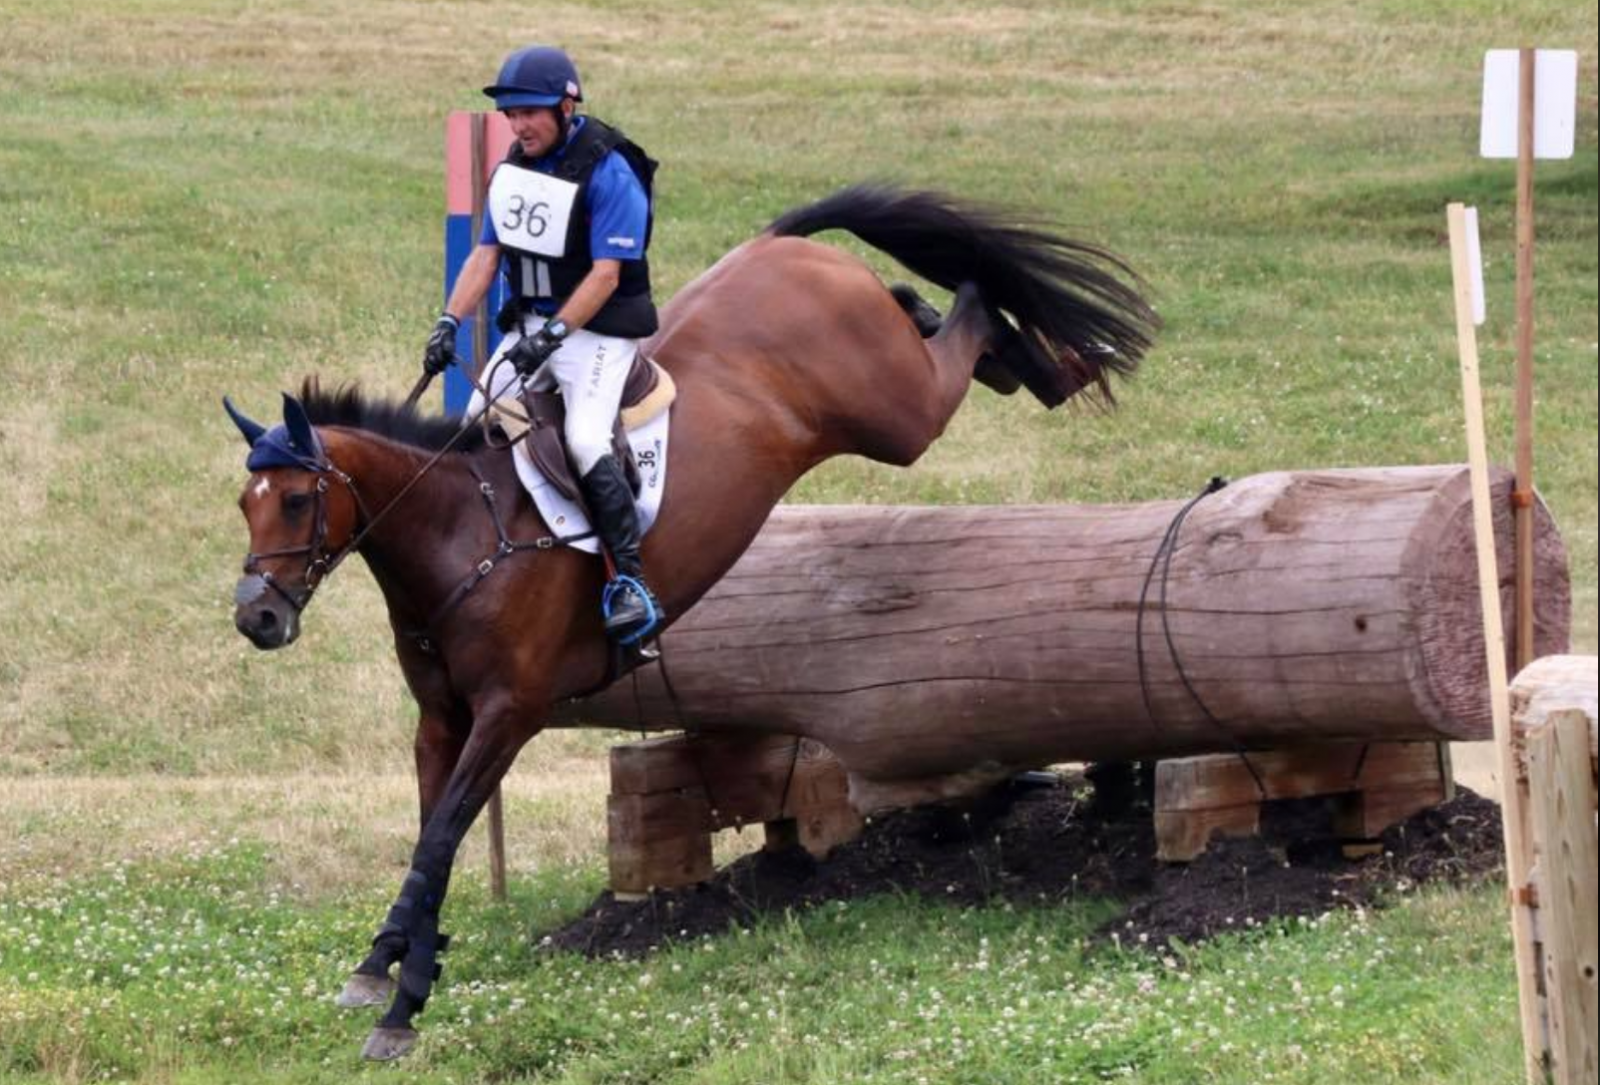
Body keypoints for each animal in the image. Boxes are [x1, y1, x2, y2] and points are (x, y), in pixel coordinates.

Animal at [226, 184, 1157, 1060]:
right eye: (245, 503)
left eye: (299, 500)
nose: (257, 617)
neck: (462, 535)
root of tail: (781, 245)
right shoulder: (441, 720)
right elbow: (434, 841)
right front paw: (395, 977)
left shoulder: (510, 713)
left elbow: (443, 836)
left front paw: (392, 982)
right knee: (930, 307)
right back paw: (1027, 359)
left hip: (898, 413)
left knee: (966, 310)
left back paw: (1048, 359)